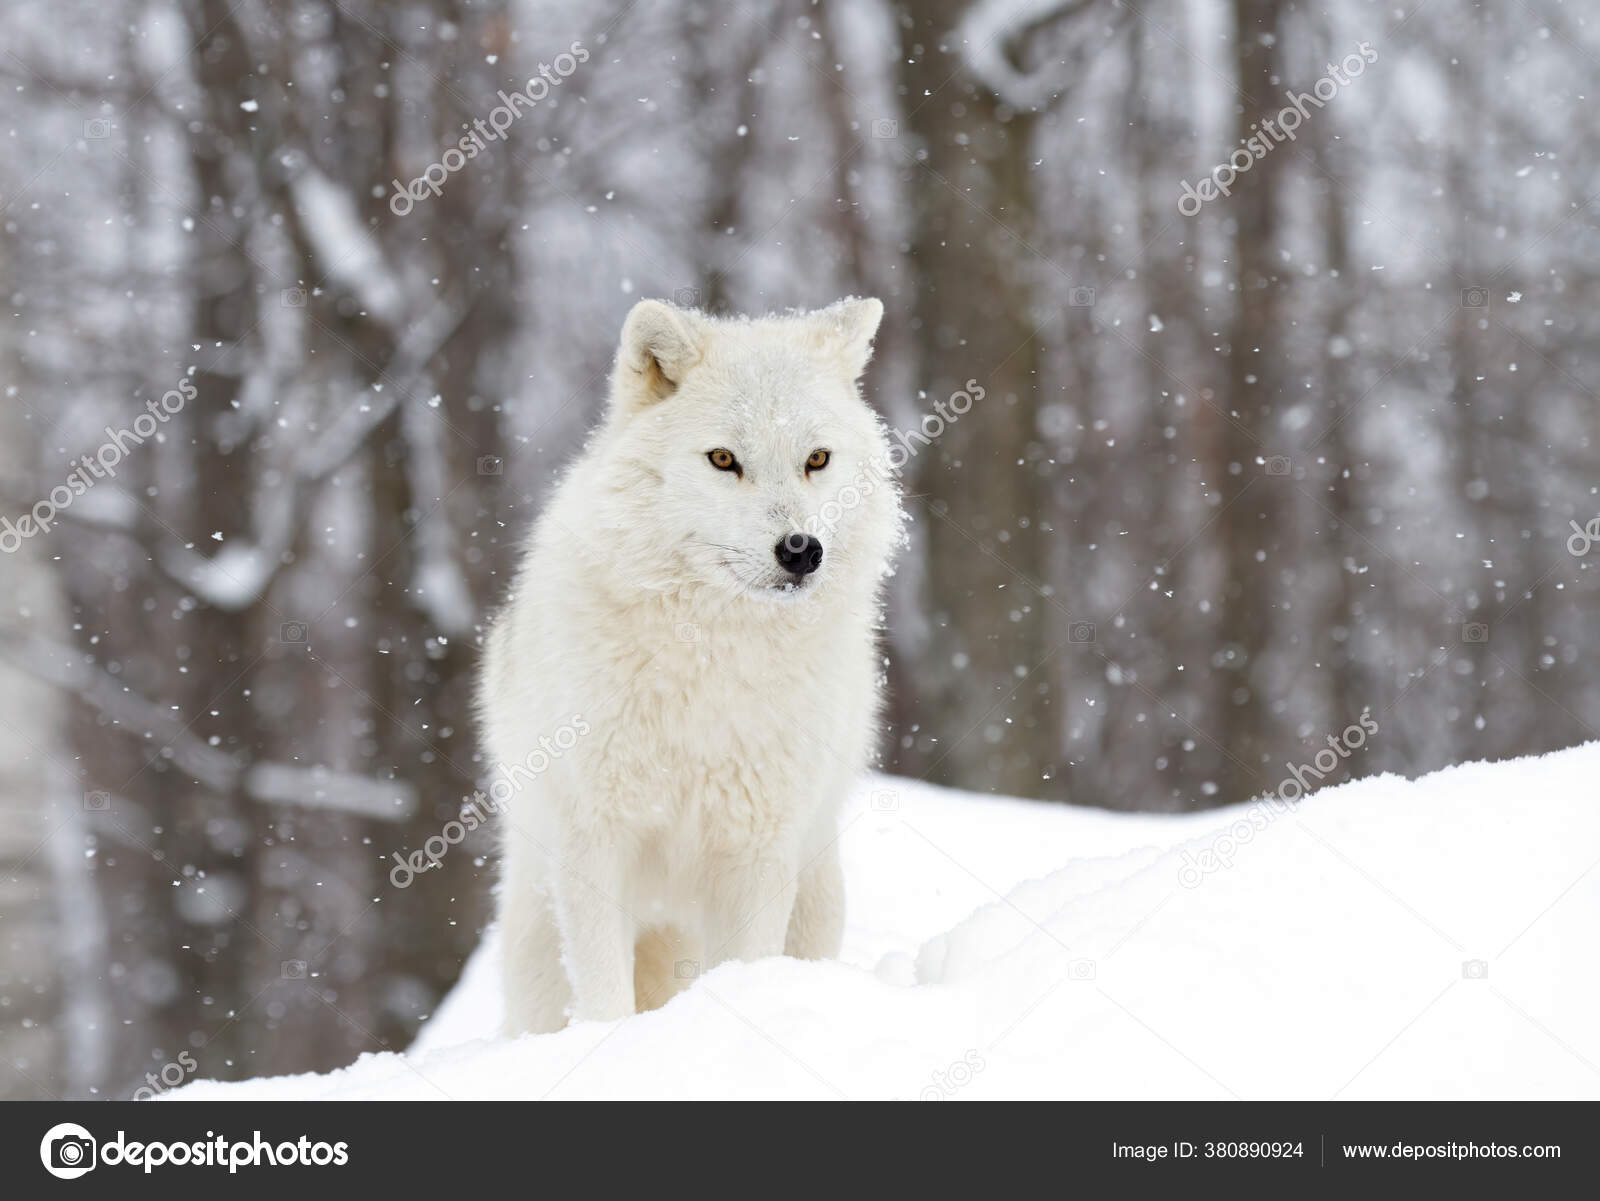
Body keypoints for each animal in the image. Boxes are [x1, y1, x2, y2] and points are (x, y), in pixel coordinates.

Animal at [479, 297, 902, 1033]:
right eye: (724, 459)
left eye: (817, 458)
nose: (801, 549)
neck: (710, 656)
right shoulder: (596, 842)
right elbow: (604, 995)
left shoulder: (759, 850)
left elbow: (748, 964)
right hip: (537, 932)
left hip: (815, 895)